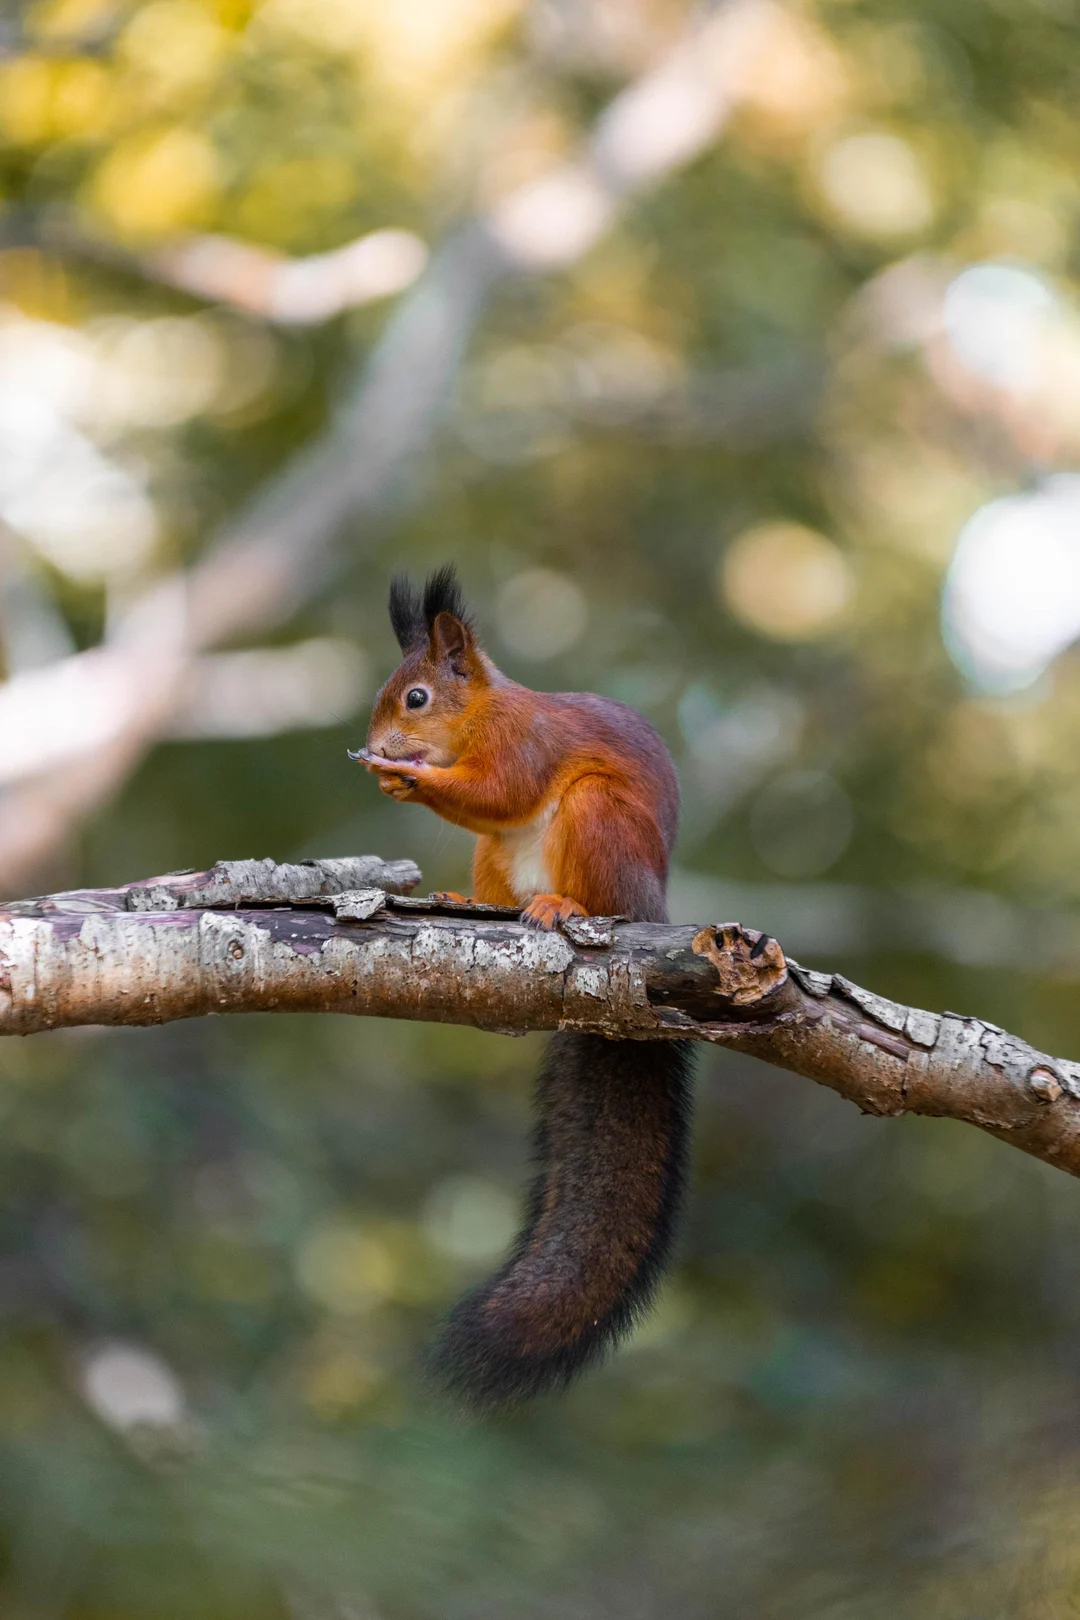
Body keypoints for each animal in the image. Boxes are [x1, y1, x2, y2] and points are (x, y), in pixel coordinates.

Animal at [351, 565, 693, 1407]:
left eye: (415, 698)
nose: (377, 747)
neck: (481, 716)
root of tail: (653, 906)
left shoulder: (526, 748)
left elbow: (502, 792)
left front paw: (408, 777)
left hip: (600, 818)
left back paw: (563, 907)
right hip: (495, 857)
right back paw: (471, 901)